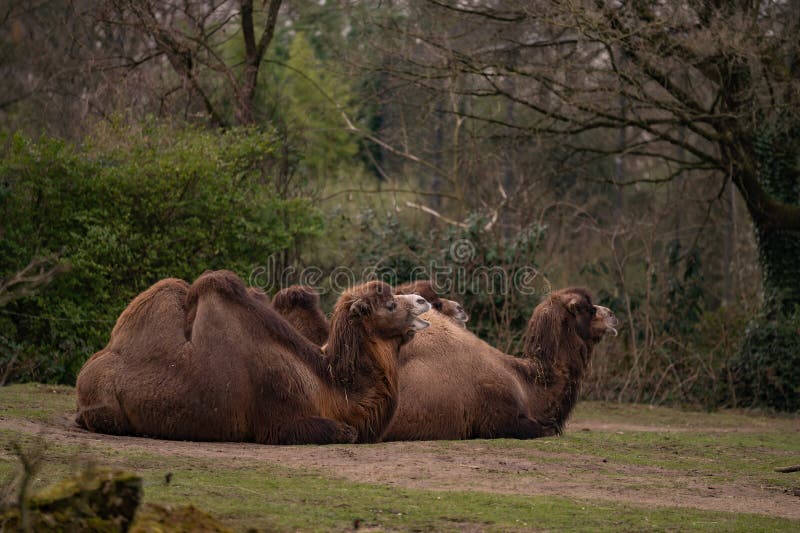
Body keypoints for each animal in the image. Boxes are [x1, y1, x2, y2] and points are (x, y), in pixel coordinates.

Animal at [75, 270, 431, 444]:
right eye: (390, 305)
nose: (422, 301)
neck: (328, 387)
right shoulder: (280, 422)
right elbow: (348, 433)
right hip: (106, 406)